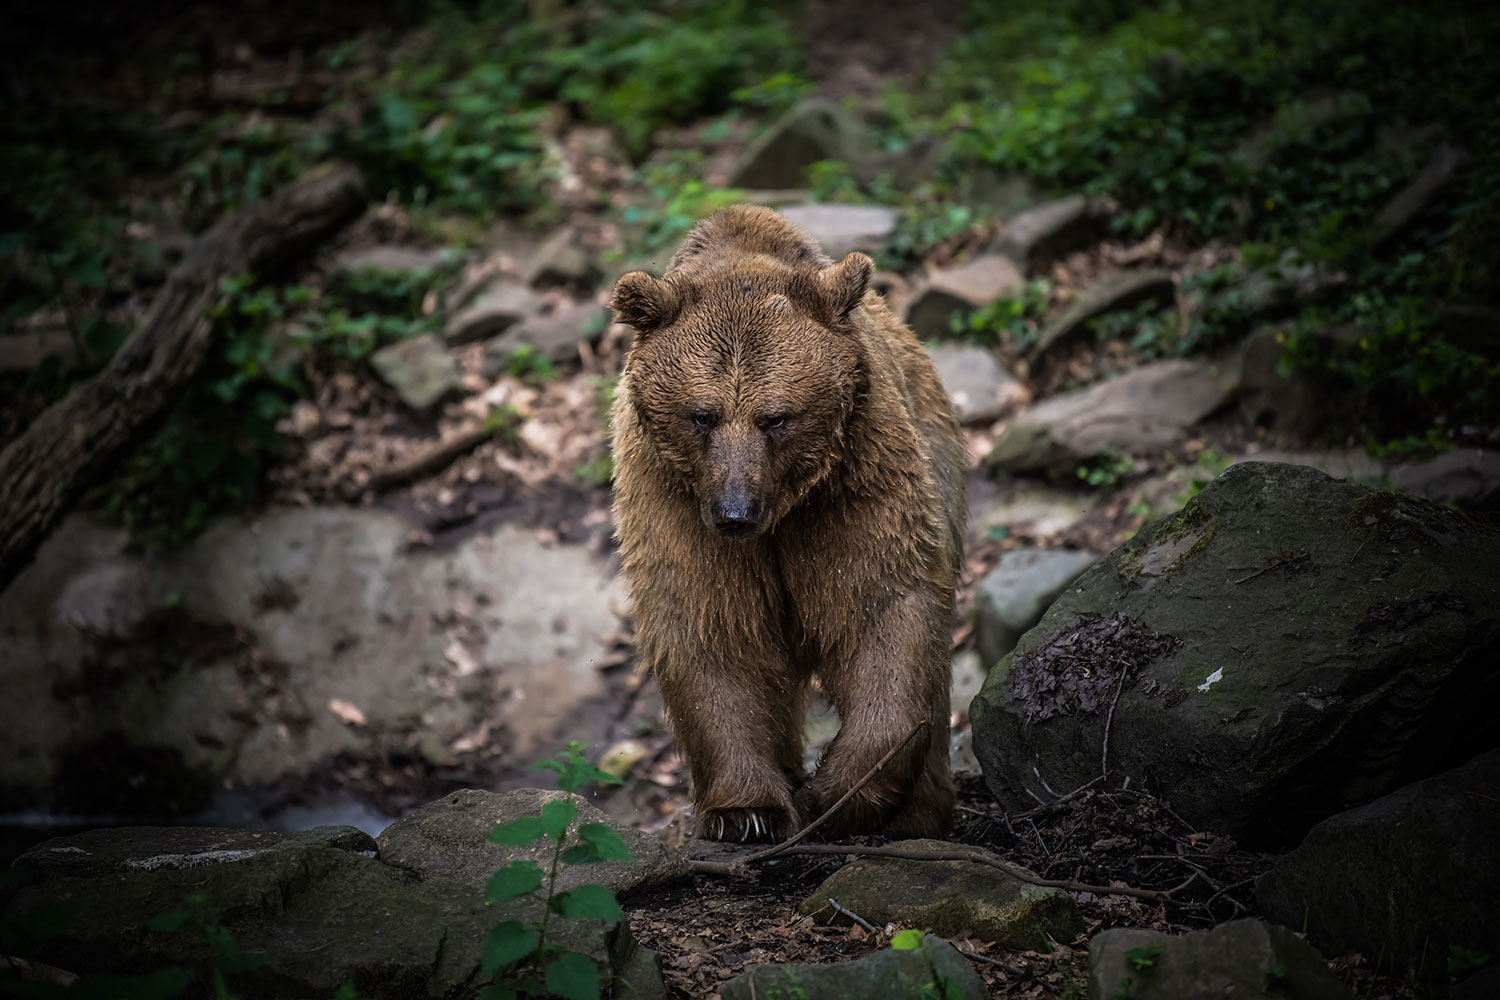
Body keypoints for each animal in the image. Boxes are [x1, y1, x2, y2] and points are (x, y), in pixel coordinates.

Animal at [609, 204, 966, 842]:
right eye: (702, 415)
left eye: (776, 418)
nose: (735, 513)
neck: (782, 512)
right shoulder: (672, 501)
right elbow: (713, 630)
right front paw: (746, 811)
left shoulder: (854, 485)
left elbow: (883, 605)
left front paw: (838, 792)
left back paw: (921, 810)